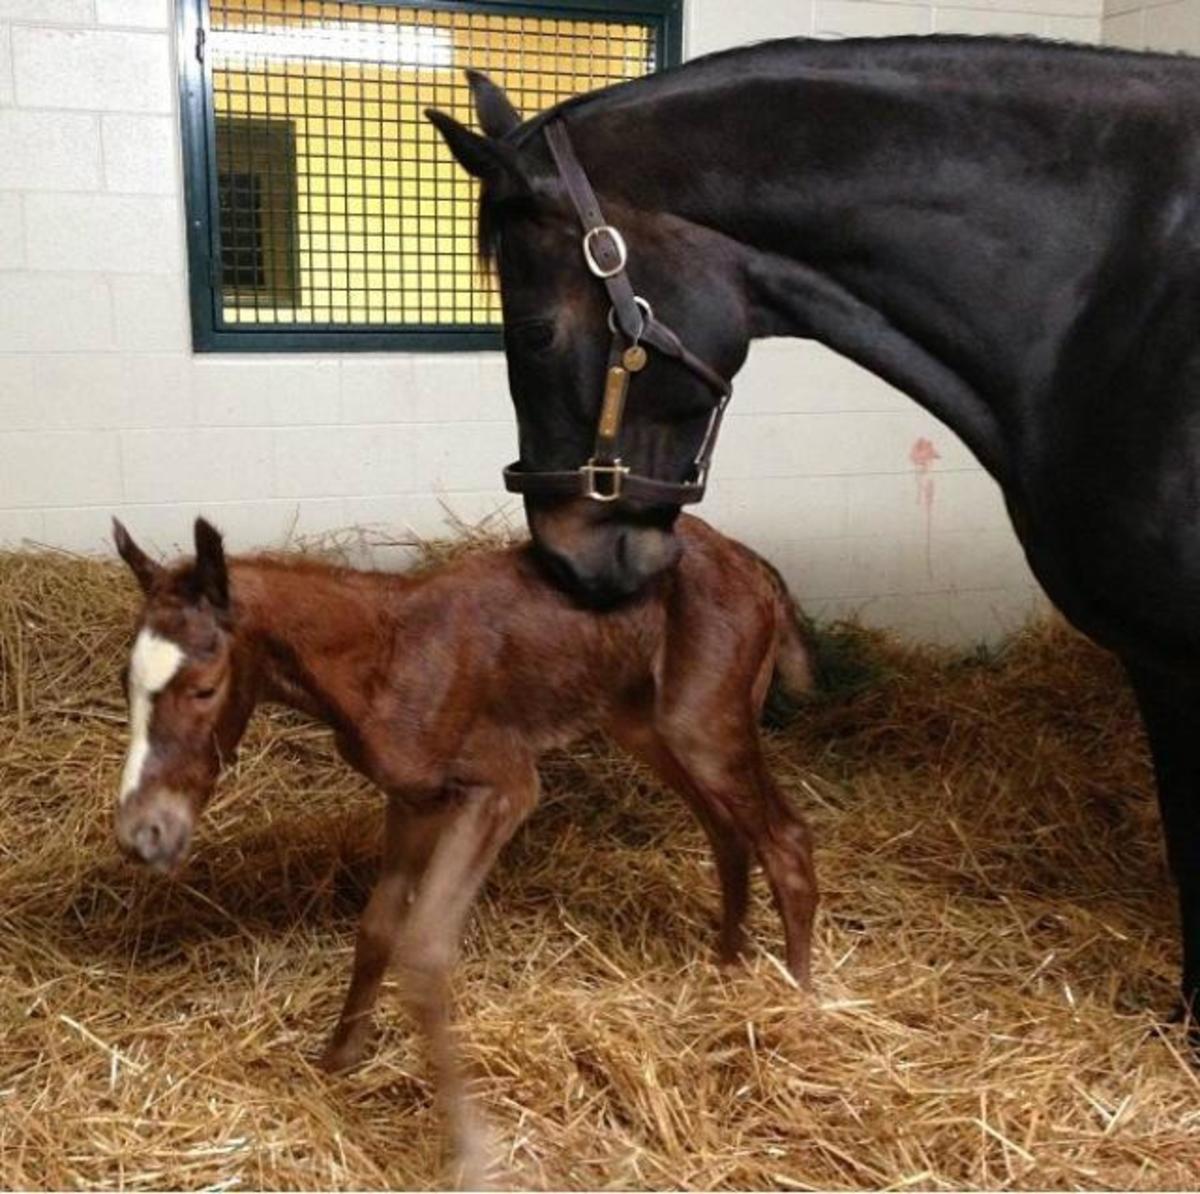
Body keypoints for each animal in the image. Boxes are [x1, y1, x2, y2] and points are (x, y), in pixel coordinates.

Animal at [111, 514, 818, 1171]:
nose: (141, 834)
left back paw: (796, 999)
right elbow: (377, 928)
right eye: (128, 684)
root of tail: (758, 568)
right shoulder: (413, 799)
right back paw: (726, 964)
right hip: (644, 721)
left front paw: (470, 1147)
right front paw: (340, 1055)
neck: (381, 659)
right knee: (726, 831)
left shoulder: (503, 786)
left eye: (204, 688)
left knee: (785, 839)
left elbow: (424, 951)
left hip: (704, 722)